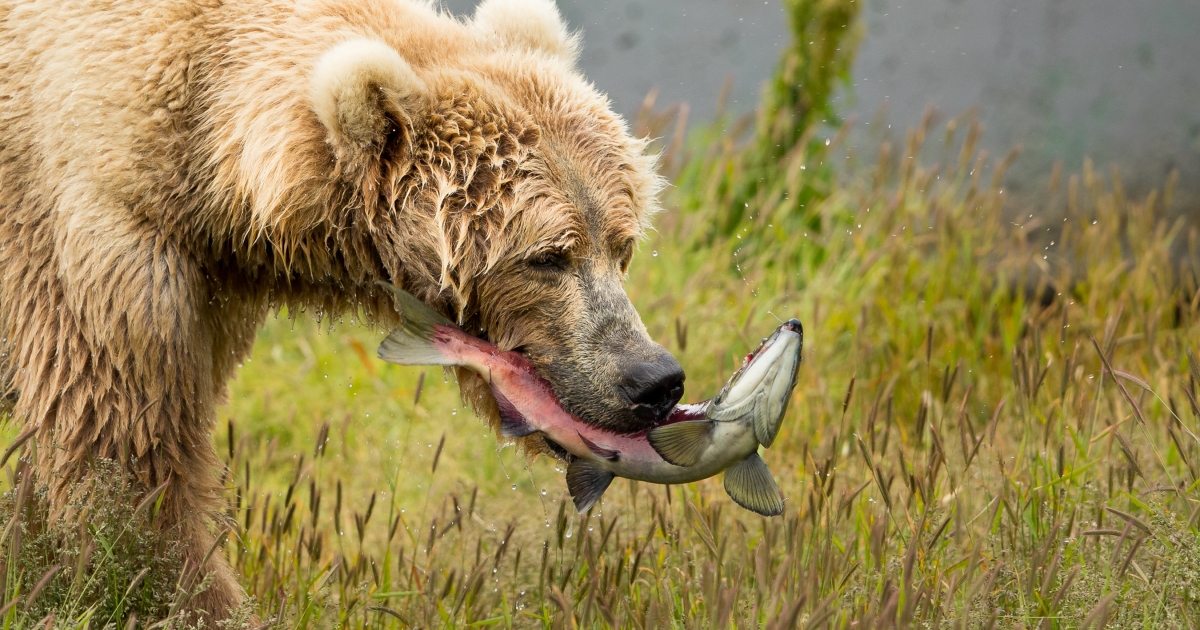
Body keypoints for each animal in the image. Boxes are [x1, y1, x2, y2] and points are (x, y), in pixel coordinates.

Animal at [0, 0, 686, 619]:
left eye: (621, 244)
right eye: (547, 257)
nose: (653, 379)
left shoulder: (209, 283)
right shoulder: (97, 228)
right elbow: (122, 448)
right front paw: (189, 596)